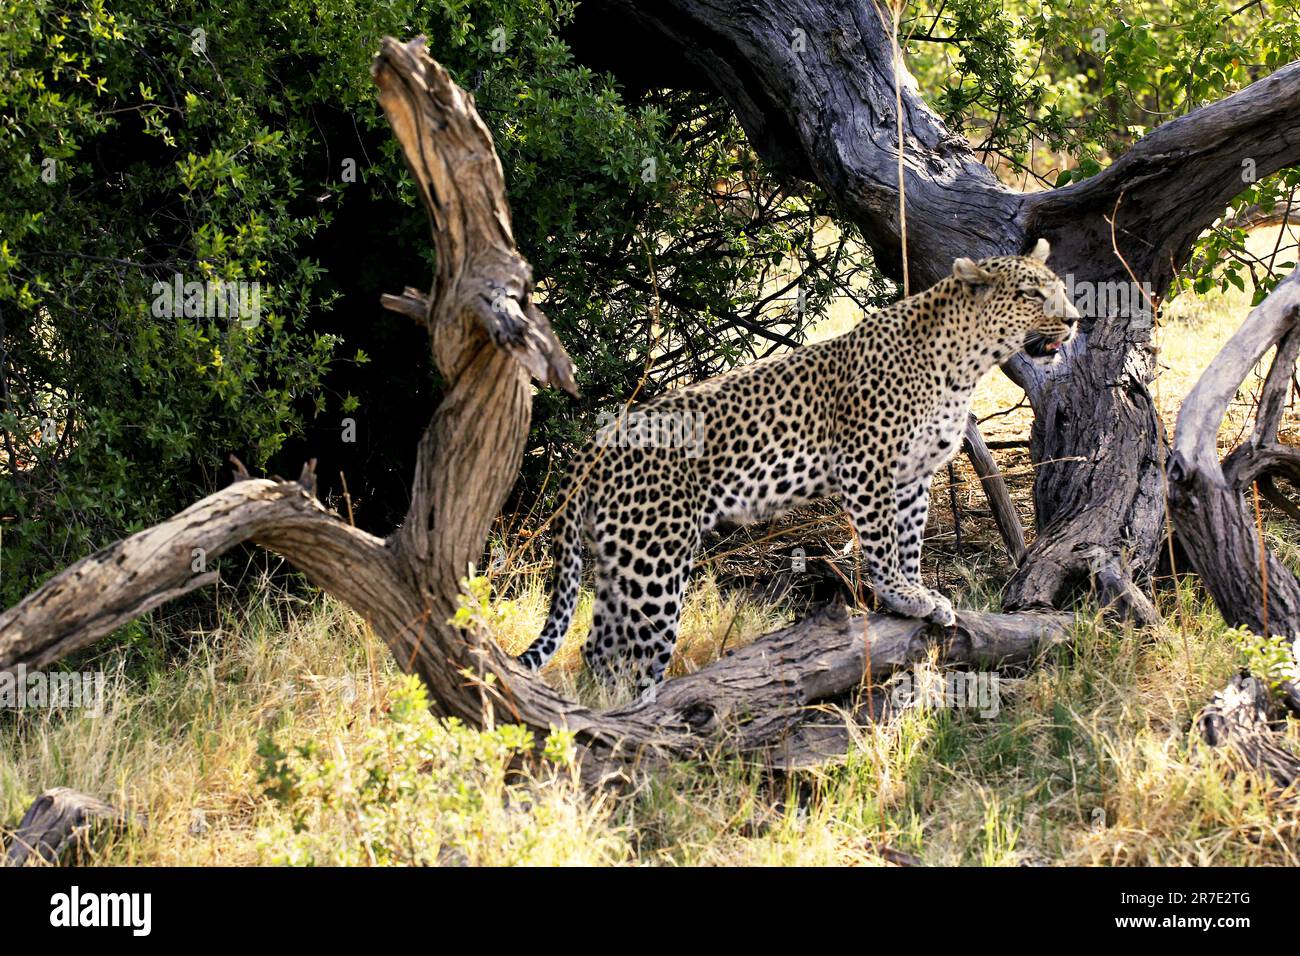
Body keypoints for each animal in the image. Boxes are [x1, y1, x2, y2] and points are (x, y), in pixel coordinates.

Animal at [517, 238, 1079, 691]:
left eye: (1058, 291)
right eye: (1032, 295)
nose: (1074, 319)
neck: (965, 362)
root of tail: (596, 442)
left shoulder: (912, 475)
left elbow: (909, 539)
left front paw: (915, 591)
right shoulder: (867, 464)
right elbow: (882, 542)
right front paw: (901, 595)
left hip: (624, 556)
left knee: (600, 649)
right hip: (653, 559)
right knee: (634, 652)